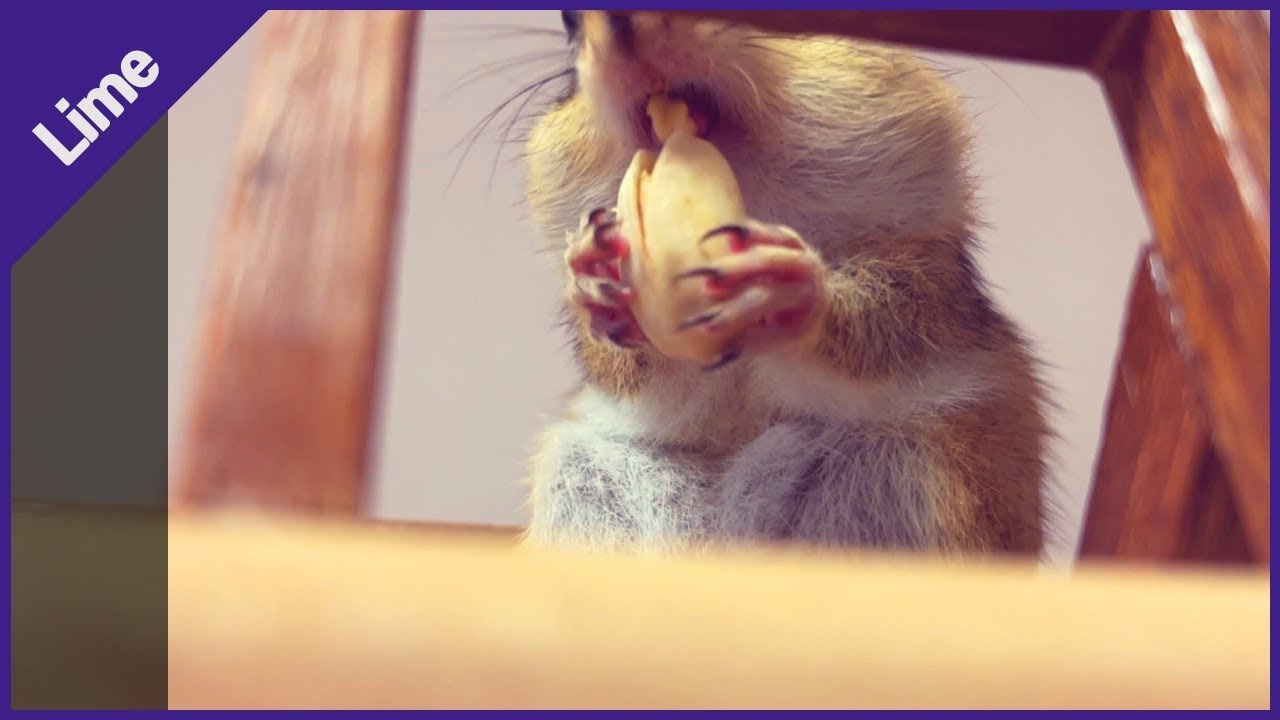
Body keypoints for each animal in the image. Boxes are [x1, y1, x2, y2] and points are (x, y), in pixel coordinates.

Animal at [520, 11, 1051, 556]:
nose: (620, 25)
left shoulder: (926, 278)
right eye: (567, 20)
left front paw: (790, 292)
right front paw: (594, 275)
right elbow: (651, 377)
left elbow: (882, 322)